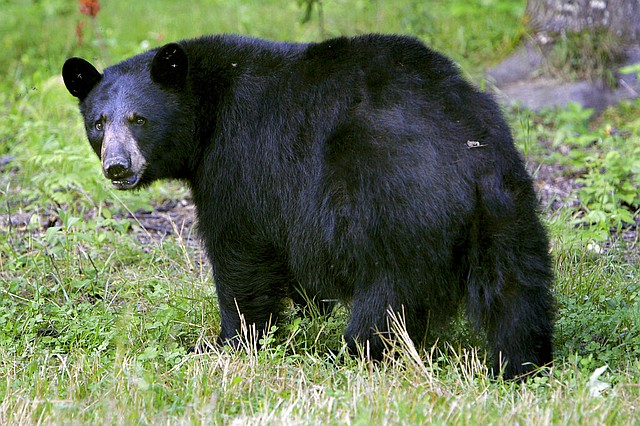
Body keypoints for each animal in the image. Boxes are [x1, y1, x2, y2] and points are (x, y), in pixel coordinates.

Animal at [62, 34, 555, 379]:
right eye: (98, 123)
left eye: (139, 119)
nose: (117, 166)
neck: (207, 112)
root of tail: (466, 154)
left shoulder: (240, 161)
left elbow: (239, 253)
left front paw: (230, 342)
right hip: (507, 209)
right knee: (517, 291)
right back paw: (521, 364)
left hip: (397, 208)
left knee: (388, 300)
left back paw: (354, 356)